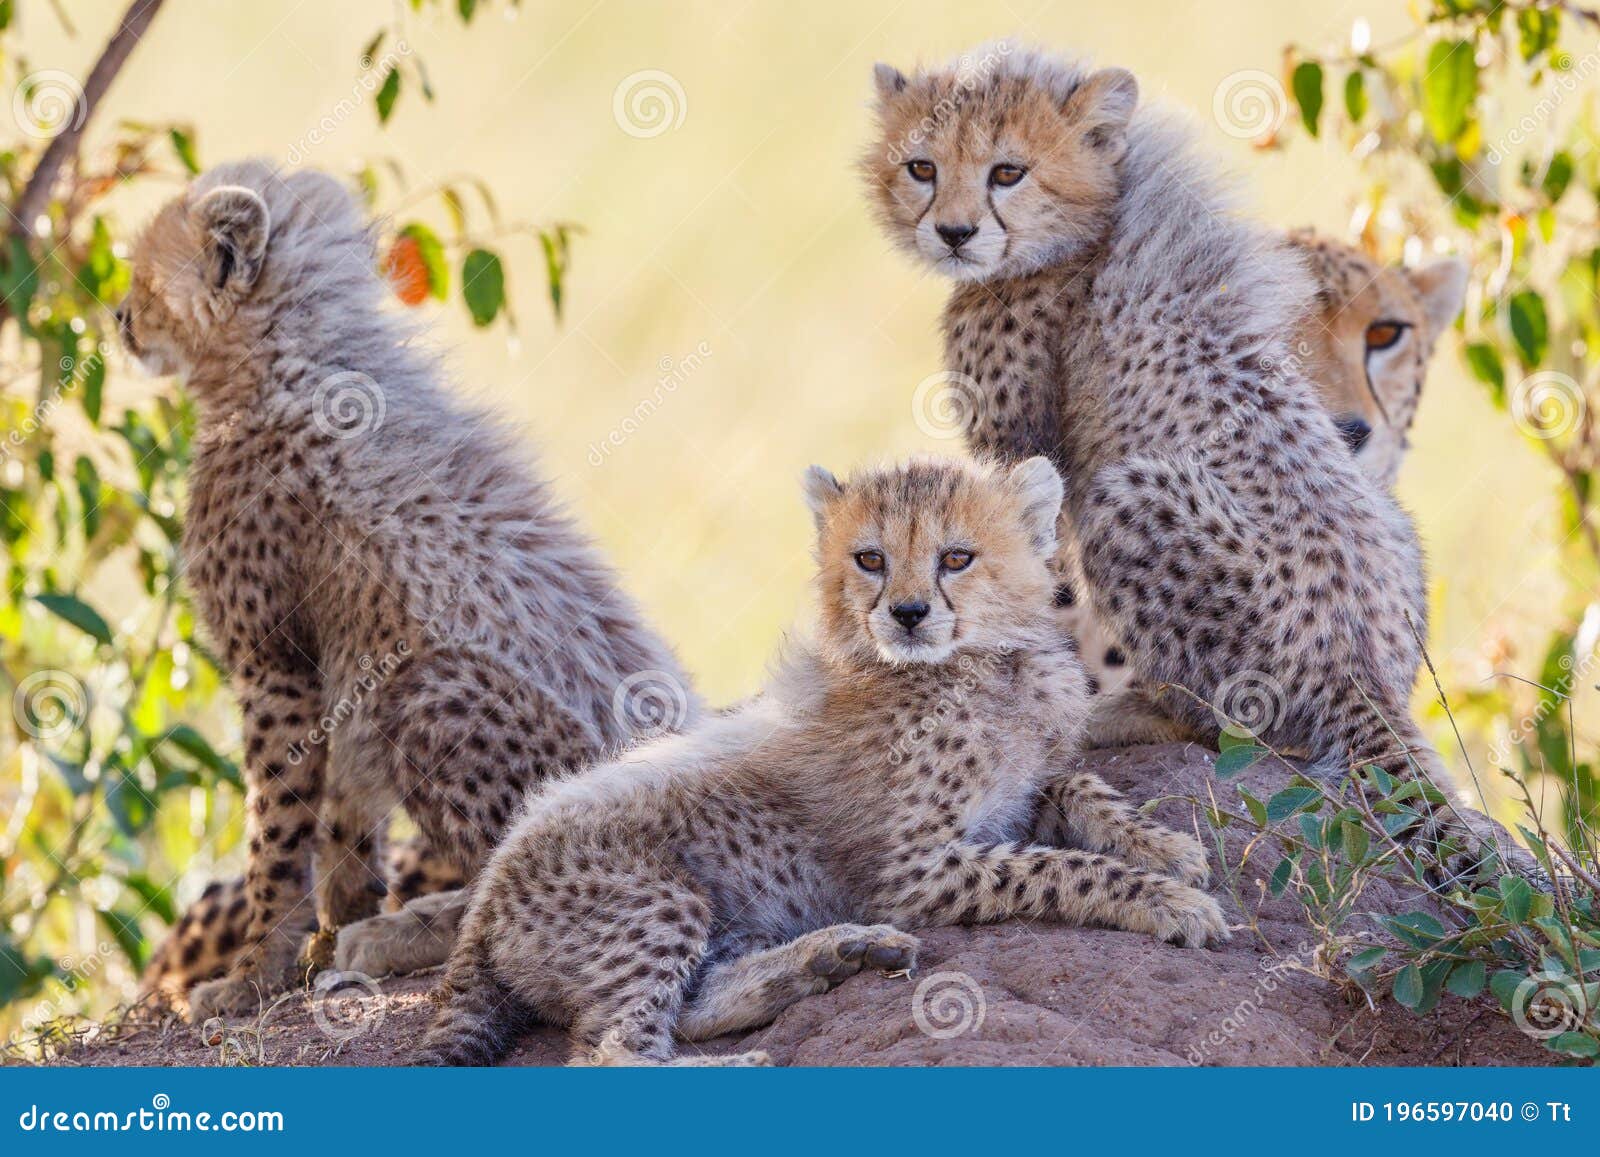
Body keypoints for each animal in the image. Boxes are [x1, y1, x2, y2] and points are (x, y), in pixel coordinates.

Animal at [116, 159, 698, 1021]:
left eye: (141, 277)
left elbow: (276, 829)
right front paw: (331, 925)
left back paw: (410, 928)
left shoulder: (272, 667)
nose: (118, 318)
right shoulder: (332, 669)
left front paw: (252, 972)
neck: (293, 359)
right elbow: (340, 817)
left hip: (432, 685)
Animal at [413, 454, 1225, 1068]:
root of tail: (485, 892)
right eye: (870, 559)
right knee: (610, 1049)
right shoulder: (915, 872)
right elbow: (1059, 867)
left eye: (955, 558)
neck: (983, 665)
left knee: (695, 1006)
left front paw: (1166, 848)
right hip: (656, 895)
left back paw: (834, 955)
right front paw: (1166, 899)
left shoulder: (1022, 789)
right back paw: (745, 1058)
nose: (907, 613)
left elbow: (1083, 785)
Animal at [861, 44, 1538, 885]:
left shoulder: (1027, 444)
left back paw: (1122, 711)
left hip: (1128, 496)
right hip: (1392, 524)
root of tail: (1358, 665)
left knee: (1242, 728)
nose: (953, 233)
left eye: (1006, 172)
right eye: (921, 166)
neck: (1096, 214)